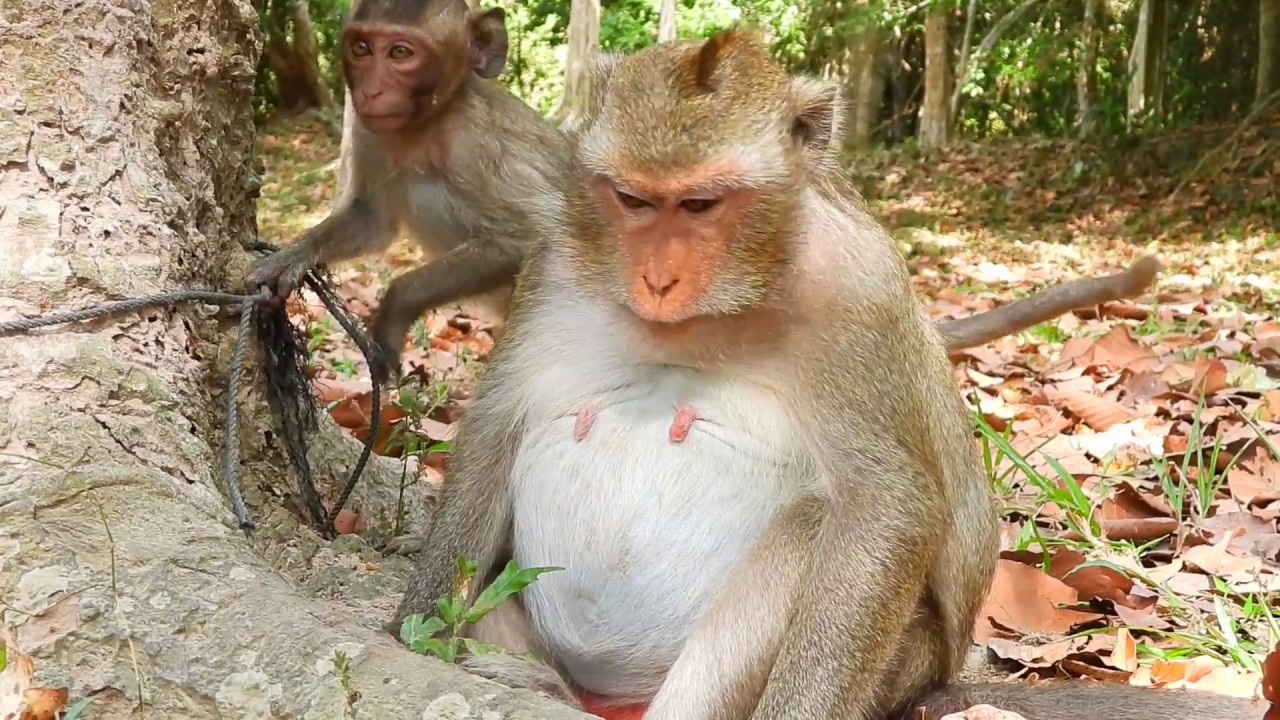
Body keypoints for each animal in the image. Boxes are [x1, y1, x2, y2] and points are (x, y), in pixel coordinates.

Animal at [243, 0, 571, 383]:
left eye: (400, 53)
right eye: (361, 48)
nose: (371, 91)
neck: (427, 125)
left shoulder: (476, 143)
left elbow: (529, 237)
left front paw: (394, 310)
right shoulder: (365, 128)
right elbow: (371, 221)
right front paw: (292, 257)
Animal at [385, 30, 1264, 720]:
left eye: (700, 205)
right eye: (632, 199)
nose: (657, 279)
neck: (718, 305)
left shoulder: (858, 292)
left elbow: (885, 509)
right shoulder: (557, 260)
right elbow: (496, 428)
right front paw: (409, 632)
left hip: (897, 664)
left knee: (814, 528)